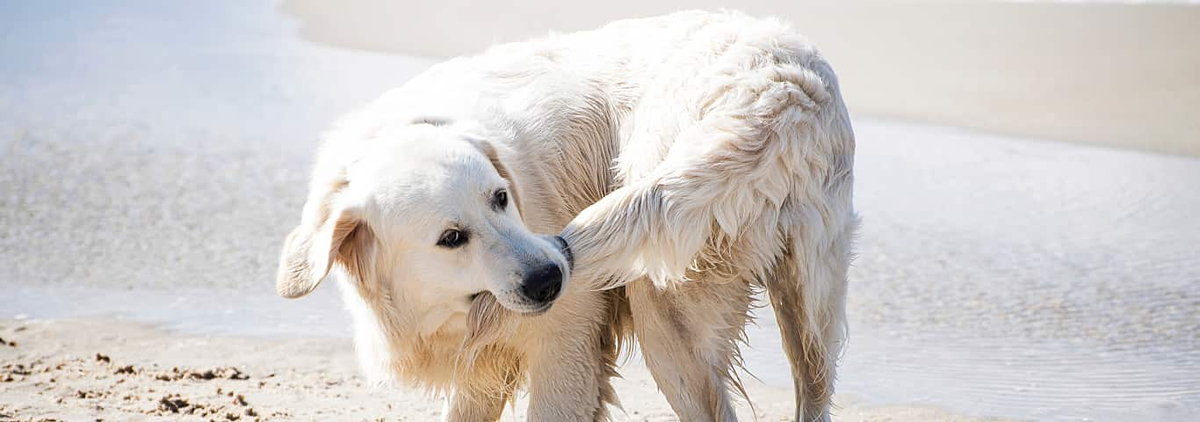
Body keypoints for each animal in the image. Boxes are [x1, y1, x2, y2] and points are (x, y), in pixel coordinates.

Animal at [274, 9, 854, 422]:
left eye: (500, 197)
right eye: (451, 237)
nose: (550, 277)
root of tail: (777, 93)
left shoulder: (566, 344)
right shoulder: (480, 369)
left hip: (666, 314)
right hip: (811, 304)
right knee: (815, 387)